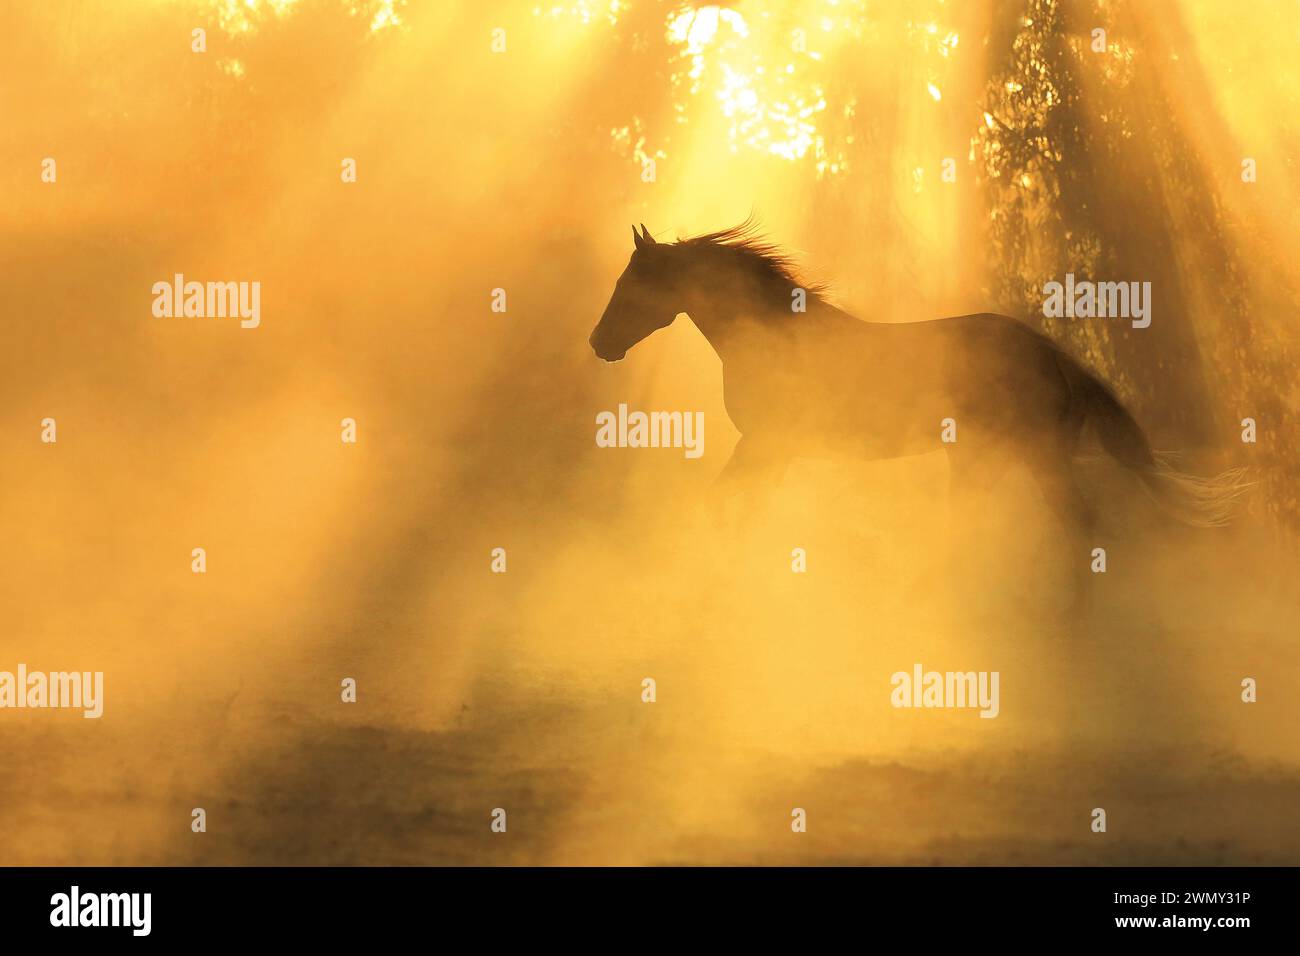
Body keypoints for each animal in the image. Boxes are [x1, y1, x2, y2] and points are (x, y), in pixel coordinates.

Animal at [588, 221, 1247, 607]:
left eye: (632, 283)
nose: (598, 343)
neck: (771, 334)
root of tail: (1052, 355)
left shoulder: (766, 444)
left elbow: (722, 507)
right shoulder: (773, 451)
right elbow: (740, 512)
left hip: (1031, 454)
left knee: (1078, 521)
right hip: (983, 458)